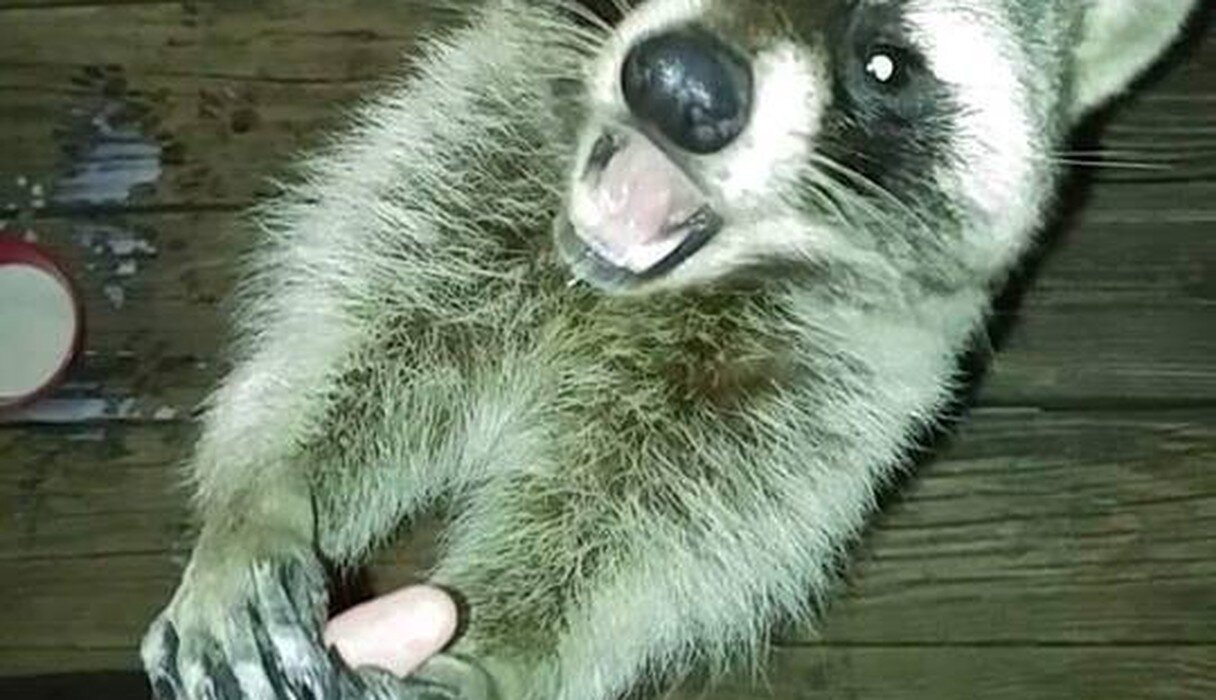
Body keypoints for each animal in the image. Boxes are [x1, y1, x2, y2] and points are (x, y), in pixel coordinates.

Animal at [141, 1, 1199, 699]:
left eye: (886, 65)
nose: (680, 85)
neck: (618, 288)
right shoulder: (481, 140)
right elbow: (359, 314)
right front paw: (262, 502)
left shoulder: (839, 365)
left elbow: (666, 537)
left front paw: (498, 650)